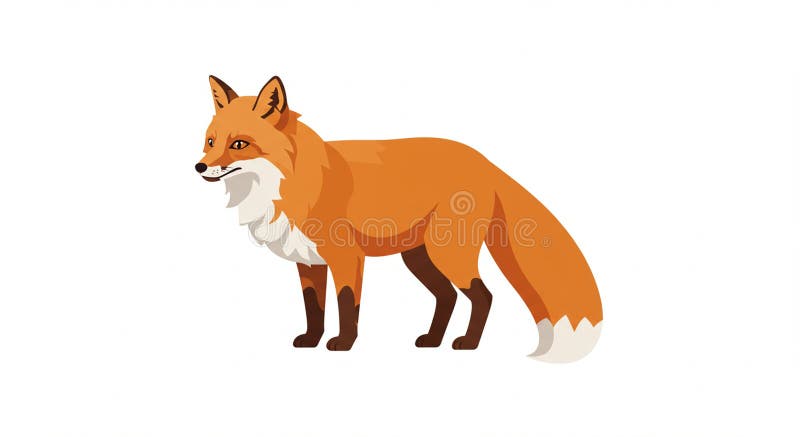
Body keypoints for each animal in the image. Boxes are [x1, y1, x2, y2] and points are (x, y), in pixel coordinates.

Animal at [196, 75, 603, 362]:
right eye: (211, 142)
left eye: (239, 144)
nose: (199, 167)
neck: (291, 183)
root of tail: (484, 159)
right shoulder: (309, 263)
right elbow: (315, 308)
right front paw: (311, 340)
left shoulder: (347, 257)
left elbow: (347, 305)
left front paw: (344, 343)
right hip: (419, 257)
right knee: (448, 297)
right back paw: (433, 340)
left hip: (447, 253)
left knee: (483, 296)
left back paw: (468, 344)